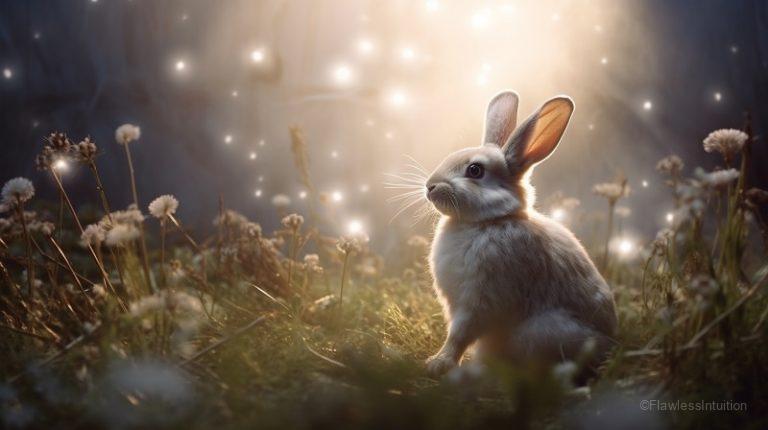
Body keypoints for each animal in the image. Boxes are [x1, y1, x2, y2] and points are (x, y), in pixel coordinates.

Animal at [424, 91, 617, 377]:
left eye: (475, 171)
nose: (430, 186)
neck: (489, 221)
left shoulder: (480, 300)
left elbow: (459, 335)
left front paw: (438, 363)